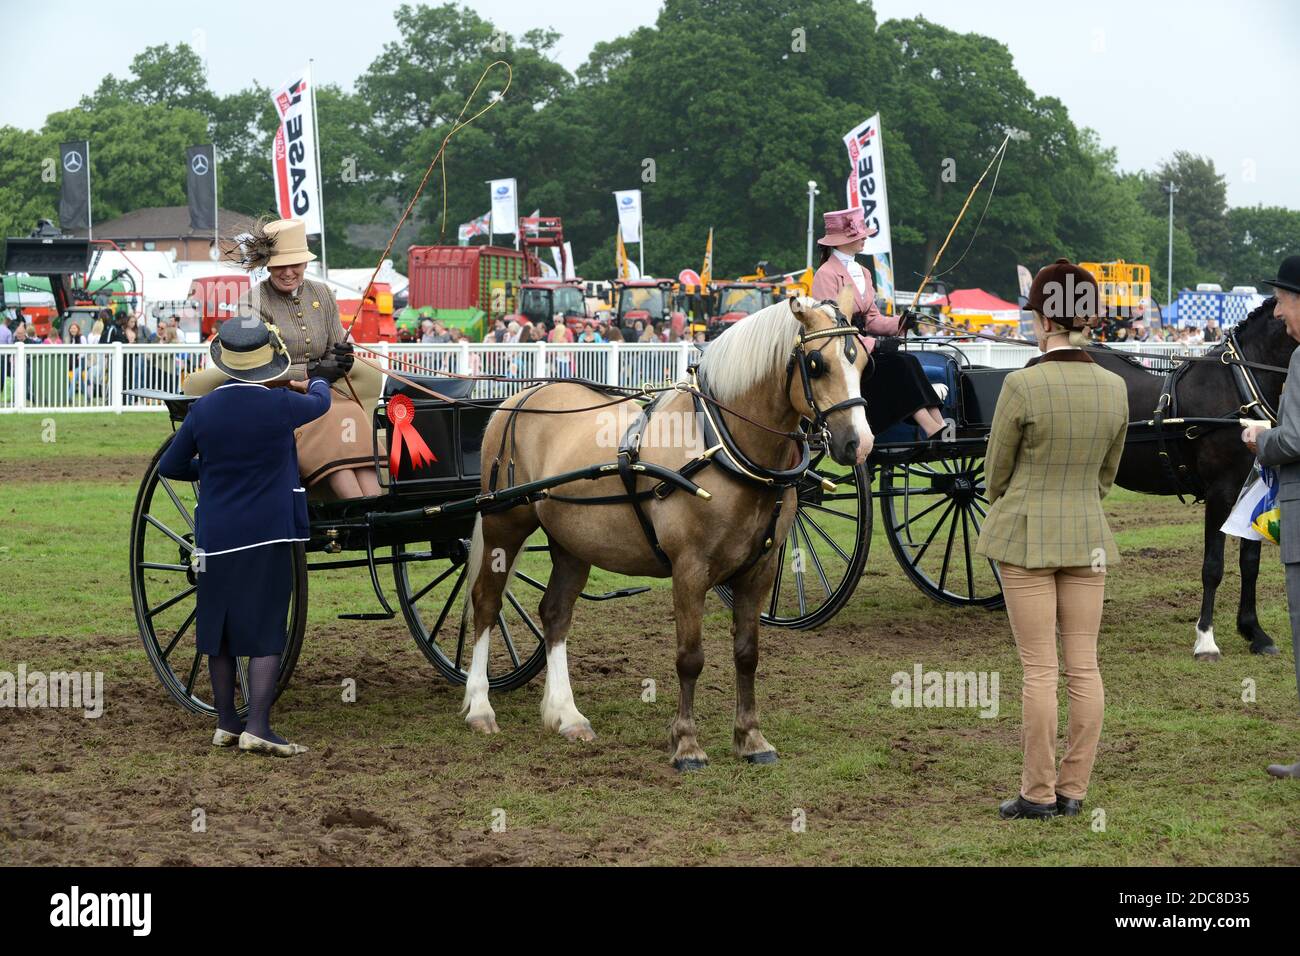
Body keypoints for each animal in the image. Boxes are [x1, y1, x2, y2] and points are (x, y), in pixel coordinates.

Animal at [458, 294, 871, 768]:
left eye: (865, 361)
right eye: (817, 364)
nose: (859, 443)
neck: (721, 443)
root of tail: (521, 395)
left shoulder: (760, 570)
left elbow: (747, 654)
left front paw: (750, 738)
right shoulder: (689, 569)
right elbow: (690, 658)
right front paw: (687, 743)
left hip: (572, 541)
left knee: (555, 613)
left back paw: (567, 714)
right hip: (504, 525)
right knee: (487, 604)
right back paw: (480, 705)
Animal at [1090, 298, 1293, 660]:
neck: (1241, 385)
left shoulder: (1250, 488)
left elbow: (1250, 563)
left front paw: (1254, 632)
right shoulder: (1220, 493)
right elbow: (1213, 566)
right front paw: (1206, 640)